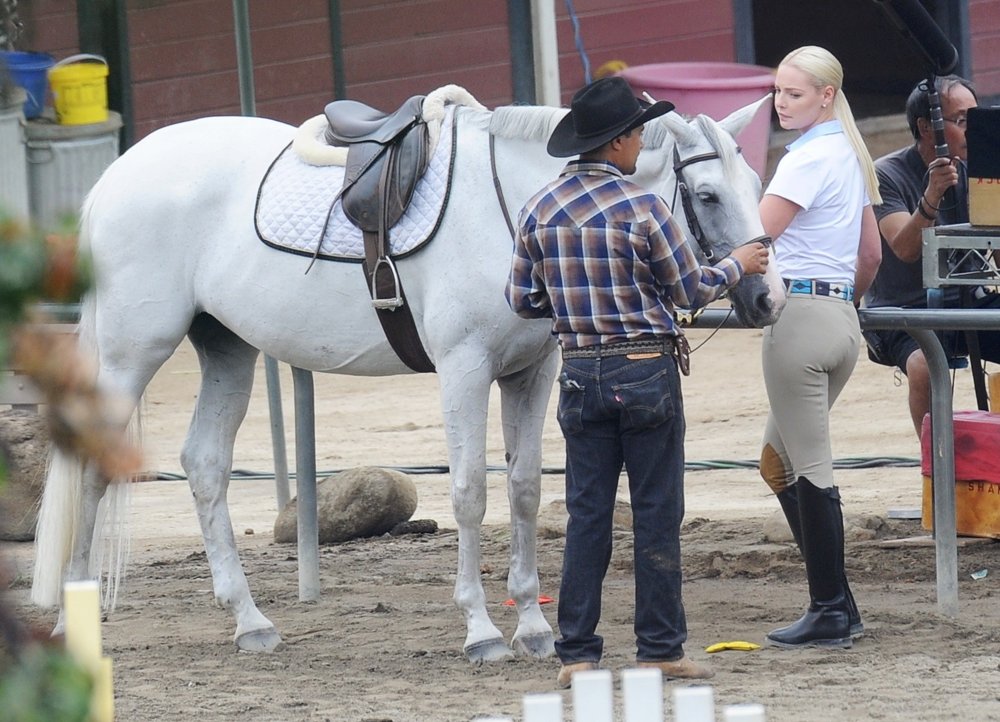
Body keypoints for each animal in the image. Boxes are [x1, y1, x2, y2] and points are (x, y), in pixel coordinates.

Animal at [31, 85, 785, 664]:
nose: (767, 299)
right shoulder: (464, 369)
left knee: (206, 465)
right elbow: (470, 494)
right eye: (708, 196)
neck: (521, 209)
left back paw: (251, 623)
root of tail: (118, 176)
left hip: (225, 349)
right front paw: (482, 631)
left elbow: (523, 490)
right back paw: (74, 621)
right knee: (96, 469)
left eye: (755, 185)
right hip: (131, 355)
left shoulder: (531, 372)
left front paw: (535, 628)